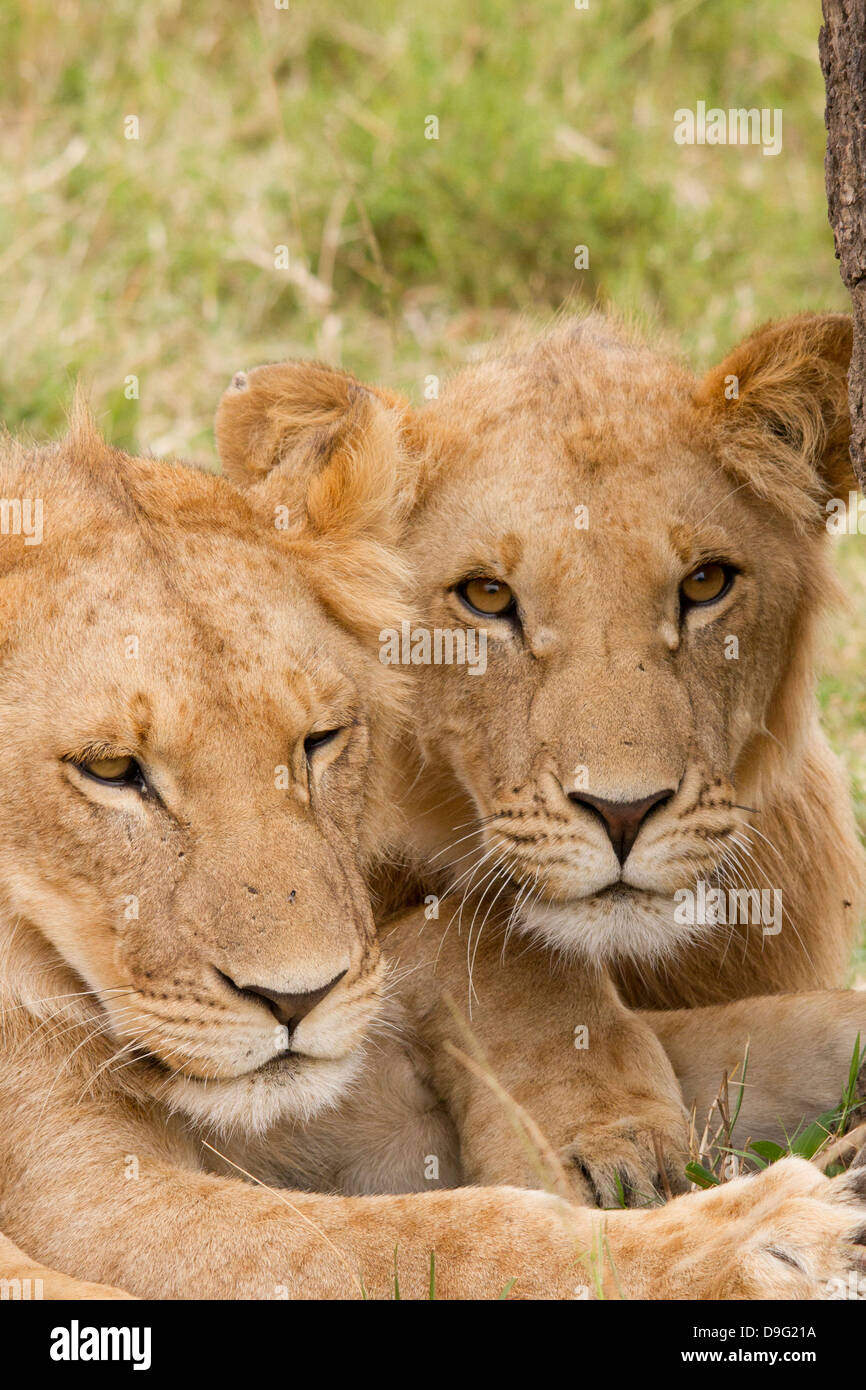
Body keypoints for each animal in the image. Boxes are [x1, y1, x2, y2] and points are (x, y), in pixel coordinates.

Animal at [3, 407, 866, 1301]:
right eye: (109, 770)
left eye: (320, 741)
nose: (296, 1002)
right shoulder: (87, 1203)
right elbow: (428, 1238)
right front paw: (763, 1241)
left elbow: (765, 1031)